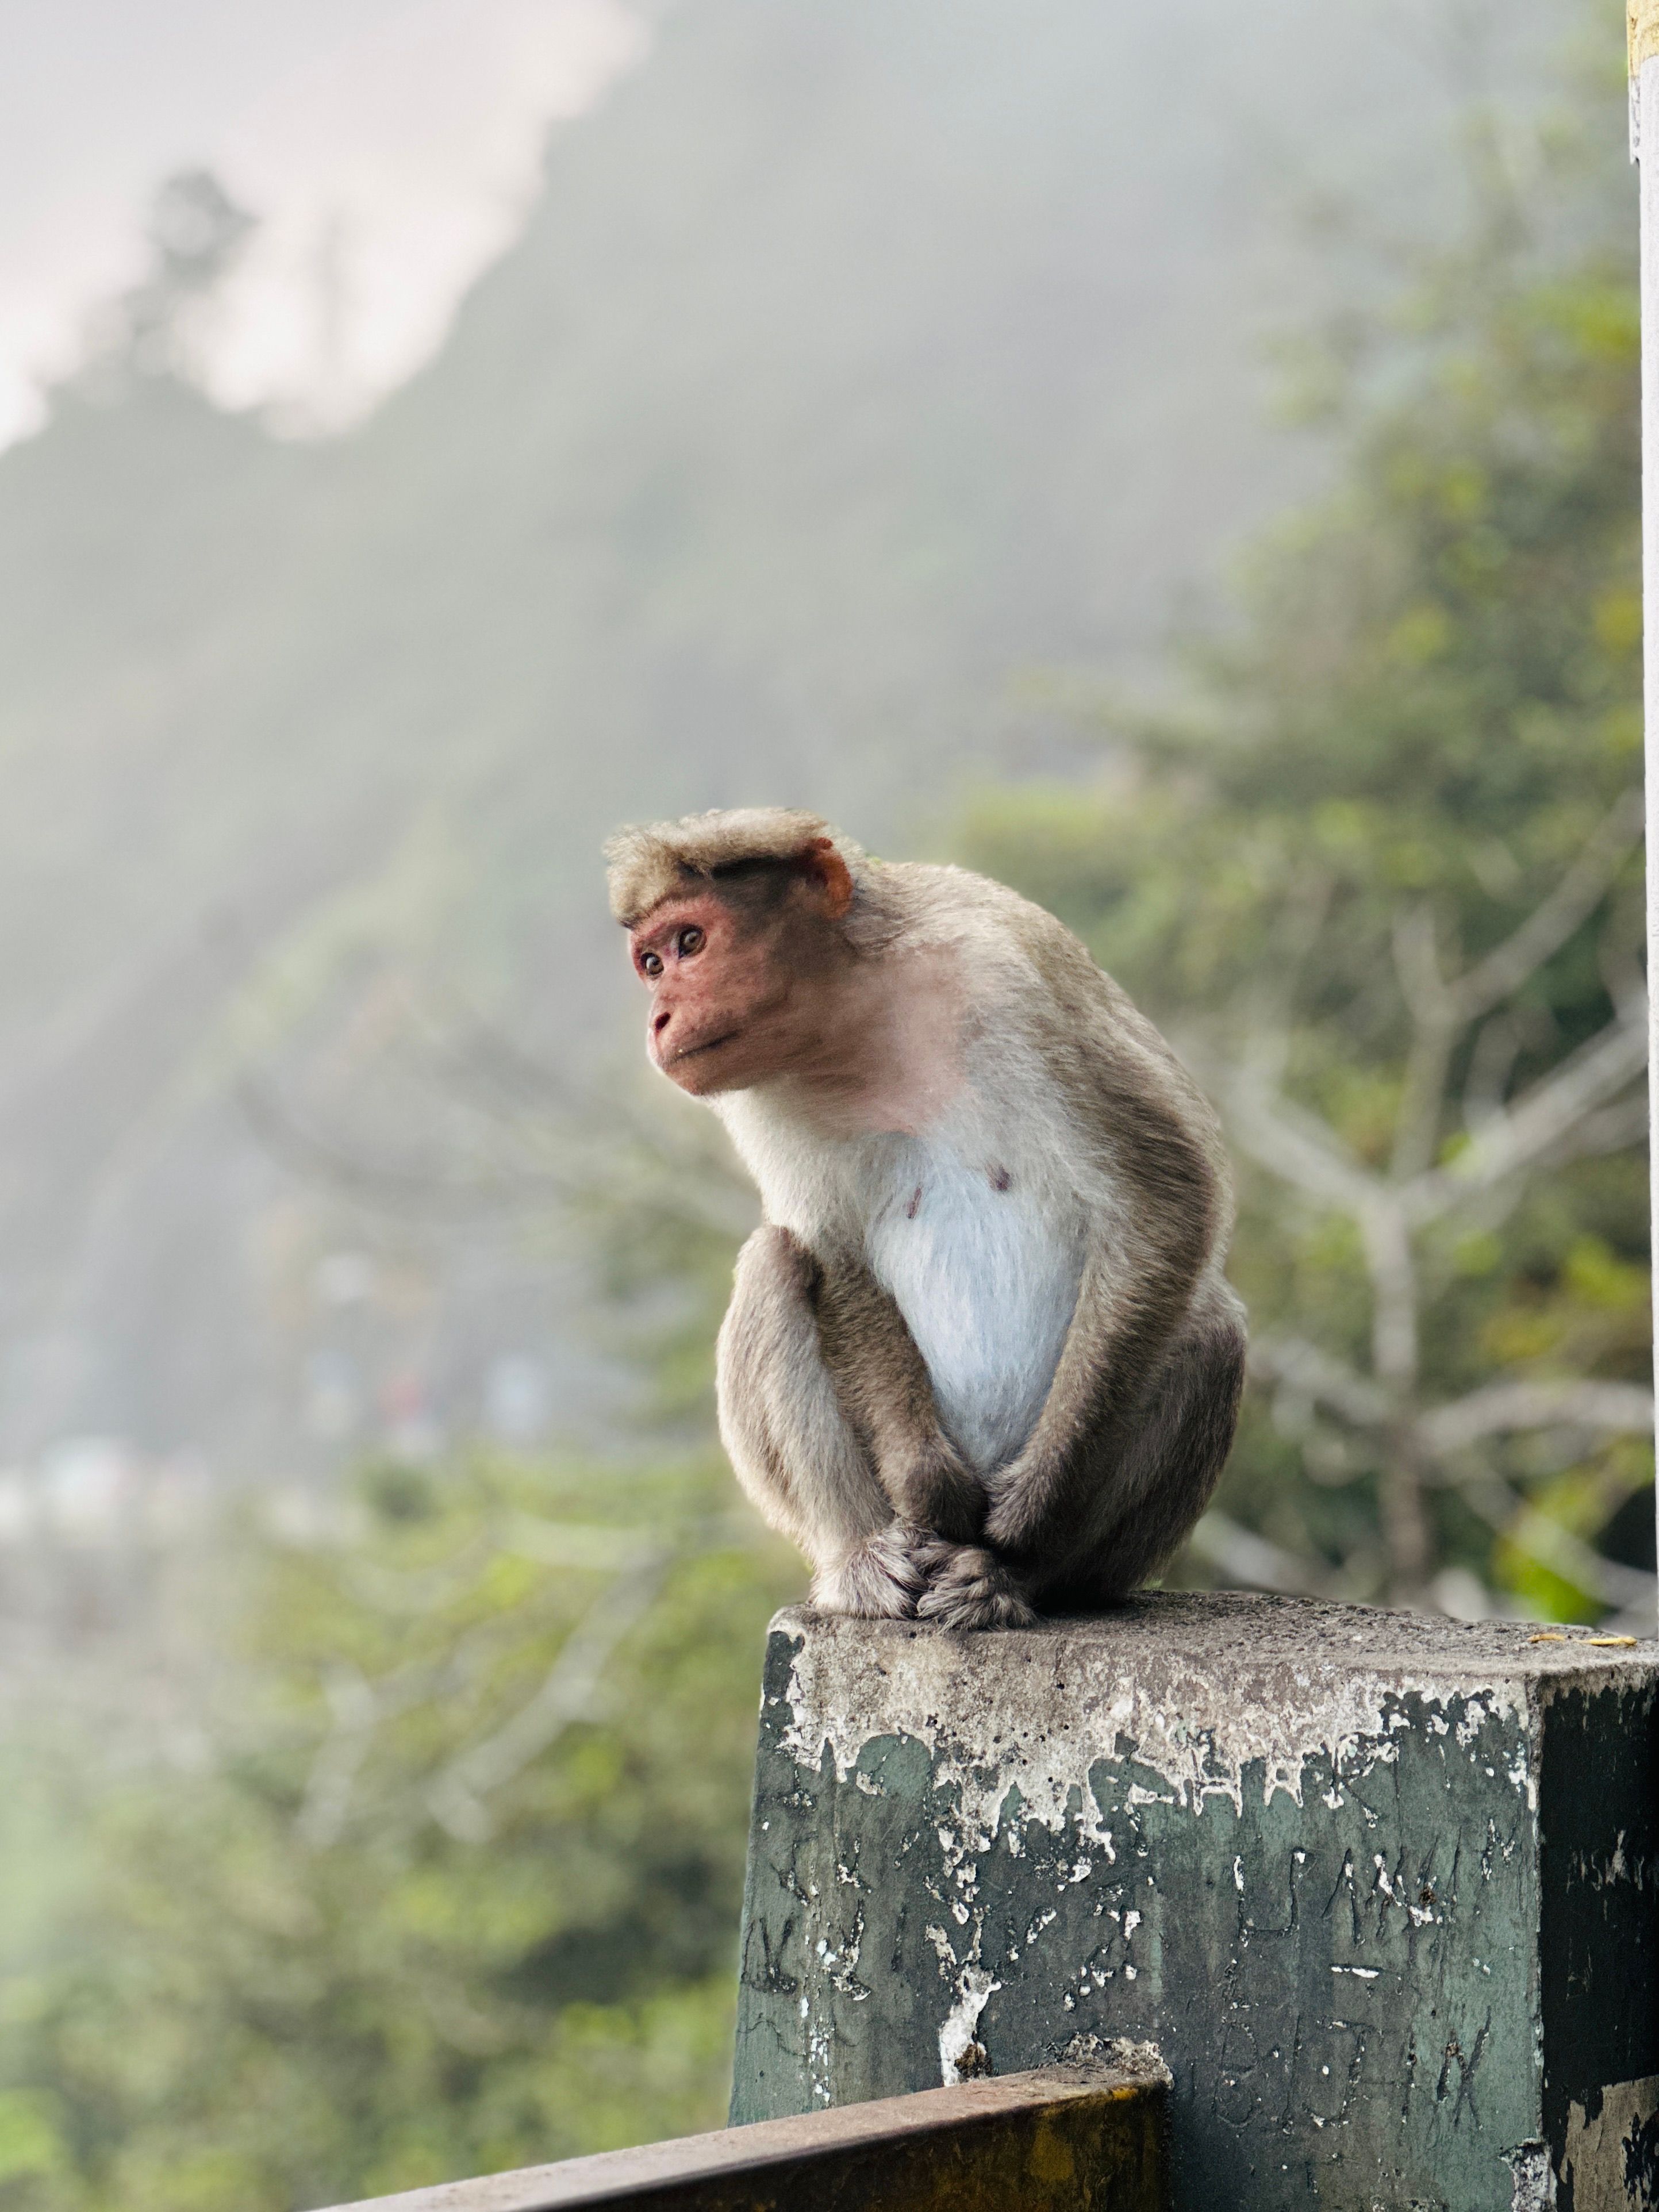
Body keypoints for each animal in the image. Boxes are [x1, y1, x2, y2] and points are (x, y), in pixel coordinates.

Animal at [604, 806, 1246, 1631]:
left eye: (690, 942)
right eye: (651, 962)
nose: (660, 1017)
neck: (857, 1018)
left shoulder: (1011, 960)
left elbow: (1166, 1194)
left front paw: (1039, 1501)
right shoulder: (761, 1093)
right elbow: (834, 1253)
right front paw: (929, 1484)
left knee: (1209, 1325)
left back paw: (1012, 1575)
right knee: (776, 1262)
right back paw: (863, 1561)